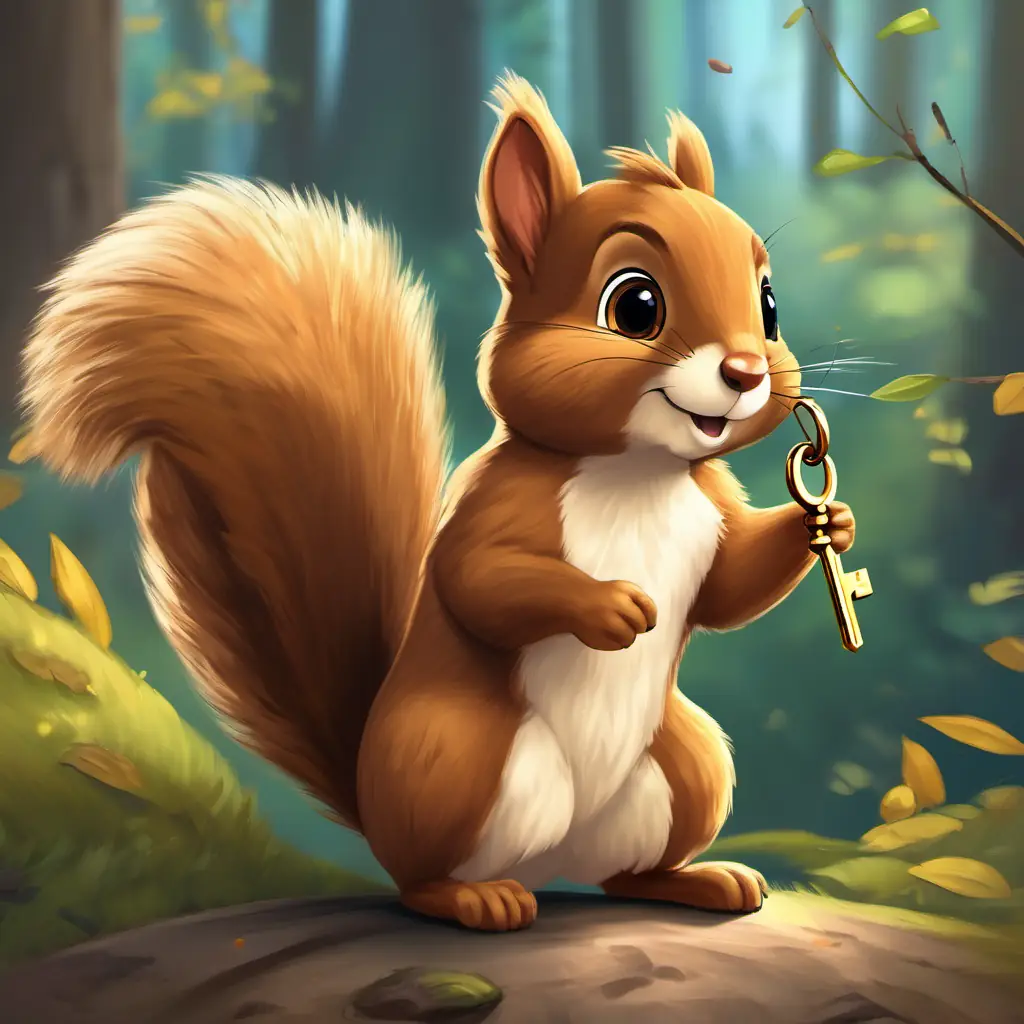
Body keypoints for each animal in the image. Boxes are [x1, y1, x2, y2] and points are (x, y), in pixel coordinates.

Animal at [18, 72, 856, 933]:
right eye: (634, 306)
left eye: (768, 304)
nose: (748, 370)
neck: (640, 473)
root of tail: (552, 866)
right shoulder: (496, 506)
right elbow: (480, 580)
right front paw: (609, 607)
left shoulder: (708, 517)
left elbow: (730, 590)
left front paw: (826, 523)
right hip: (452, 760)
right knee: (421, 879)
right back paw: (475, 899)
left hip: (688, 766)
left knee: (632, 874)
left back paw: (702, 881)